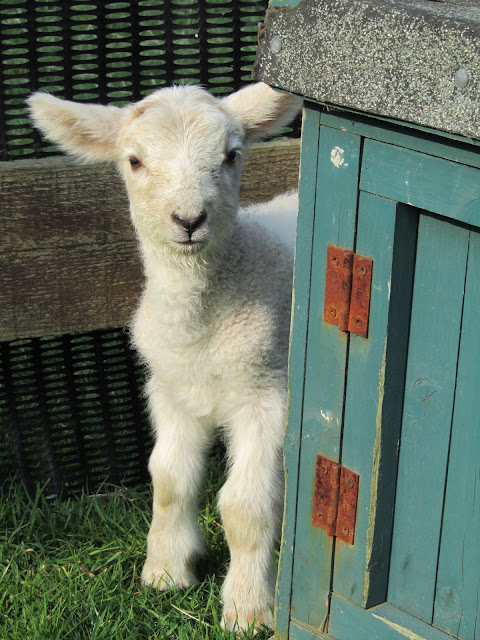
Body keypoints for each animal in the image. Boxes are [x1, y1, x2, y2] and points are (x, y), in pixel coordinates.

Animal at [28, 82, 301, 632]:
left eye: (231, 155)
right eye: (134, 161)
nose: (189, 220)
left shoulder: (267, 393)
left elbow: (245, 505)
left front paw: (247, 608)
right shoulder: (172, 390)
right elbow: (170, 479)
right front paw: (166, 571)